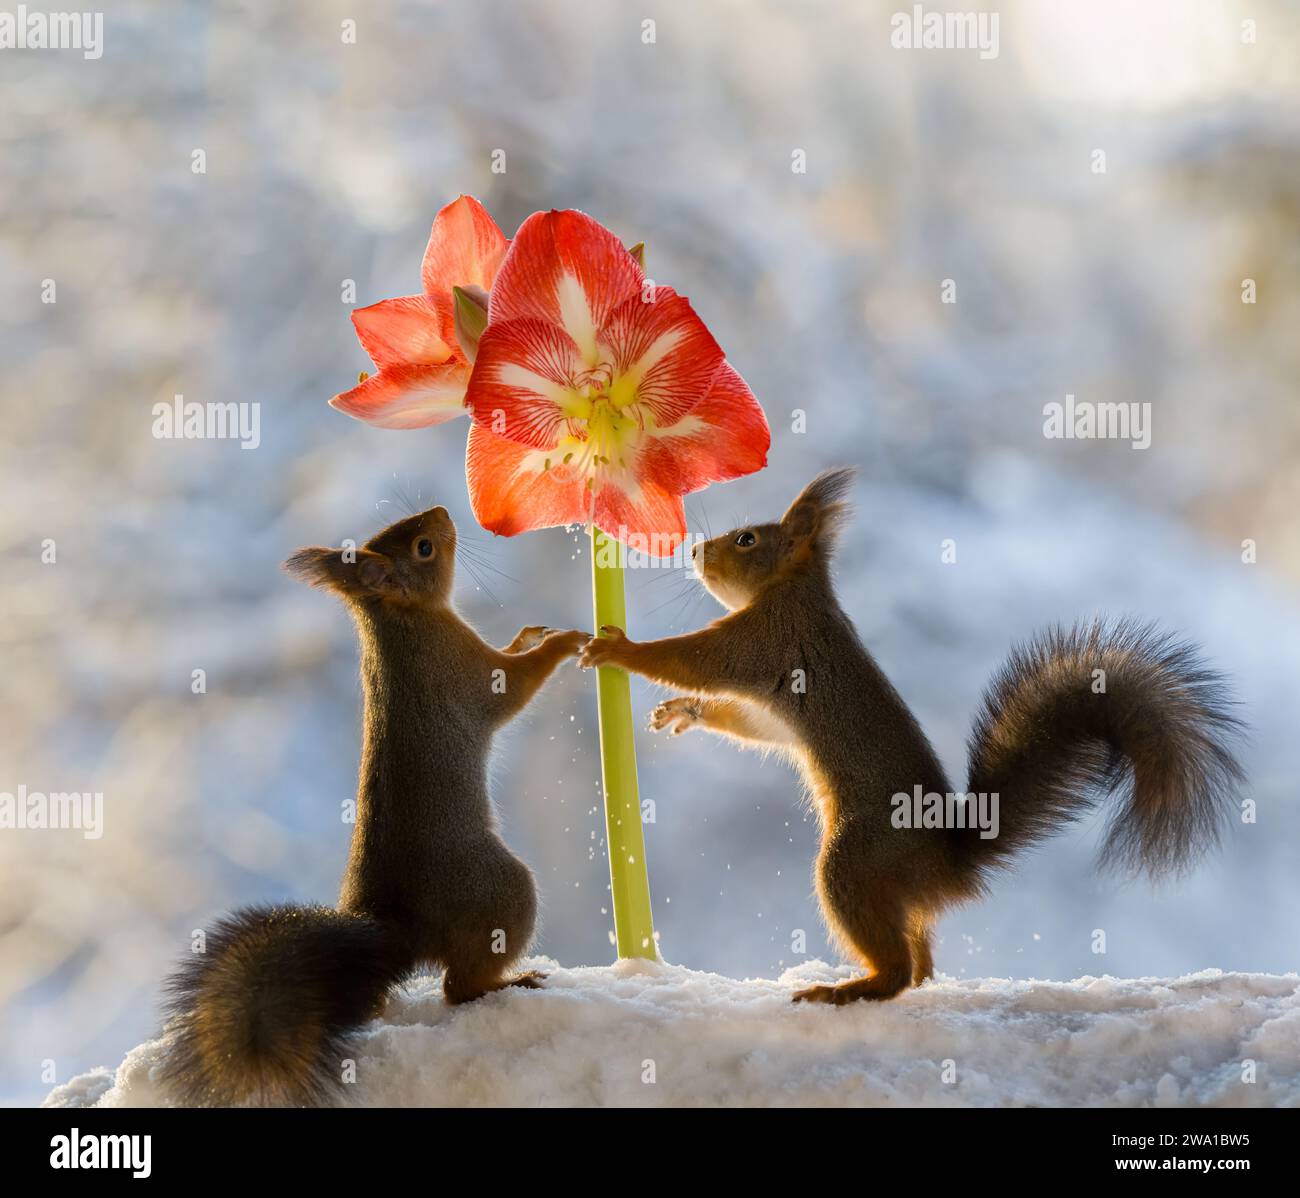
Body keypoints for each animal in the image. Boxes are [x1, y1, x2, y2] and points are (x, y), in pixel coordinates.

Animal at [159, 504, 587, 1104]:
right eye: (424, 548)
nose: (443, 511)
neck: (396, 622)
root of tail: (396, 928)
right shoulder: (462, 671)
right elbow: (513, 684)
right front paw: (562, 642)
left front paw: (530, 633)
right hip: (499, 892)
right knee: (460, 988)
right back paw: (512, 980)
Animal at [580, 468, 1244, 1004]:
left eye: (747, 540)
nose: (695, 549)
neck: (791, 590)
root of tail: (948, 864)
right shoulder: (770, 701)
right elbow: (752, 723)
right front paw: (682, 711)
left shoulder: (763, 641)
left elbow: (689, 657)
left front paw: (620, 648)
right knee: (920, 963)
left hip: (853, 862)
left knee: (899, 968)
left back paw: (848, 990)